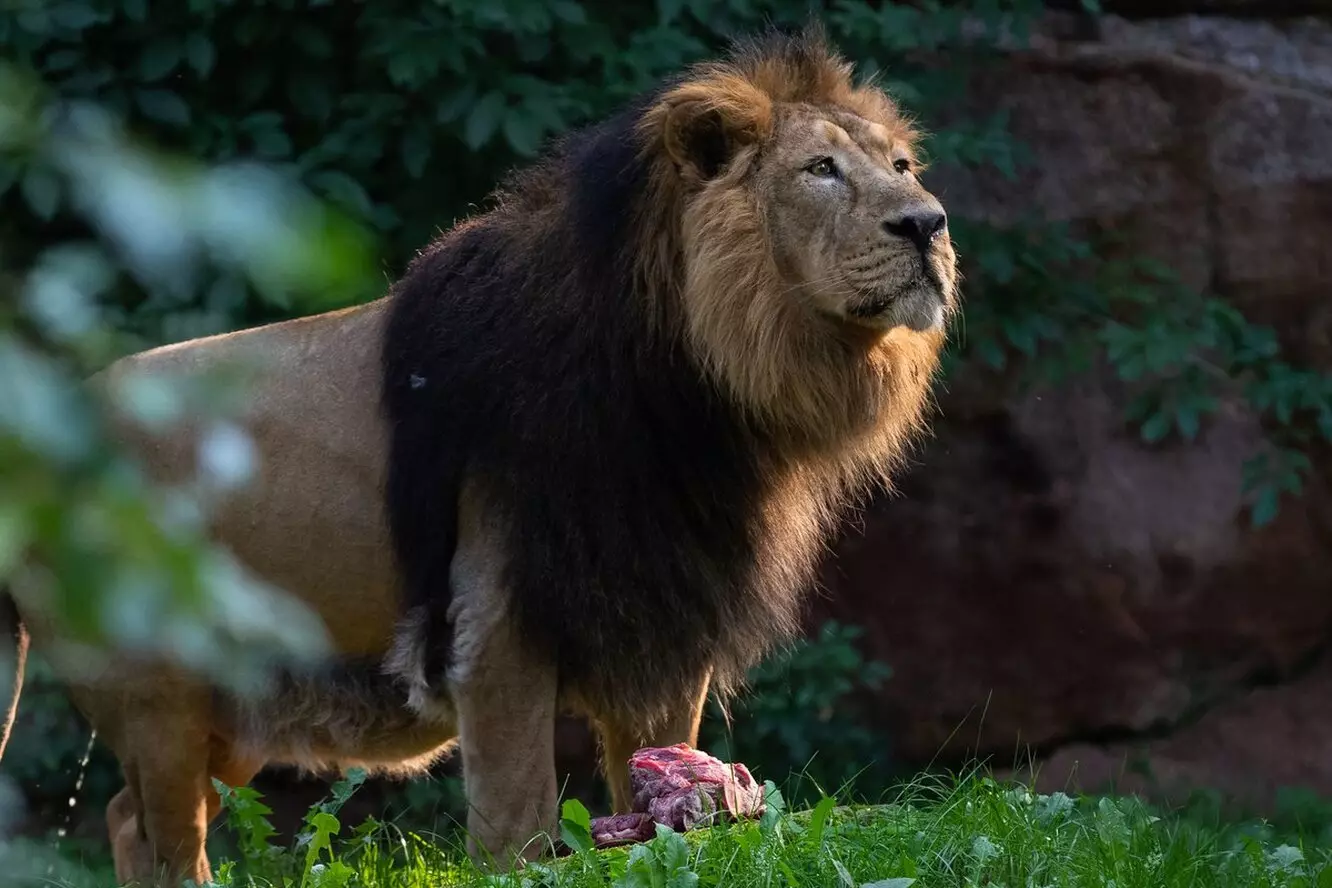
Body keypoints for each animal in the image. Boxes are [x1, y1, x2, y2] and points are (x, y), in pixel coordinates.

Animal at [0, 24, 959, 884]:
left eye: (902, 168)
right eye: (820, 170)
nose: (928, 225)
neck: (701, 389)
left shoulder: (663, 611)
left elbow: (660, 772)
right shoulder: (496, 625)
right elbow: (517, 820)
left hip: (227, 714)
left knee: (125, 819)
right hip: (157, 694)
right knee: (164, 840)